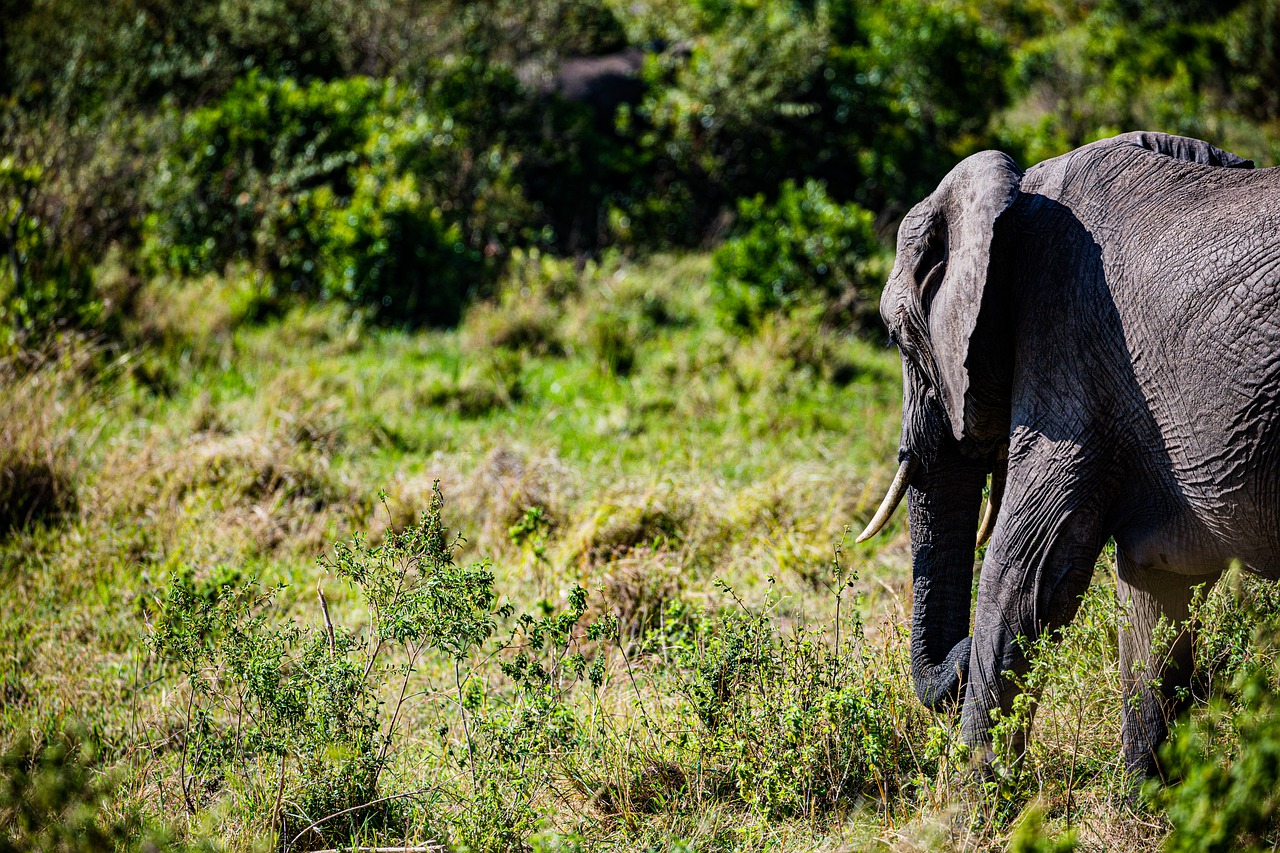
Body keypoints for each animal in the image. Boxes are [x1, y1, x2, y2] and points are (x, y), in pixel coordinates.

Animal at [856, 130, 1280, 779]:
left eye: (896, 337)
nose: (959, 653)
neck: (1018, 197)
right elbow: (1155, 581)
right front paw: (1146, 795)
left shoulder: (1069, 351)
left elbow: (1021, 575)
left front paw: (979, 796)